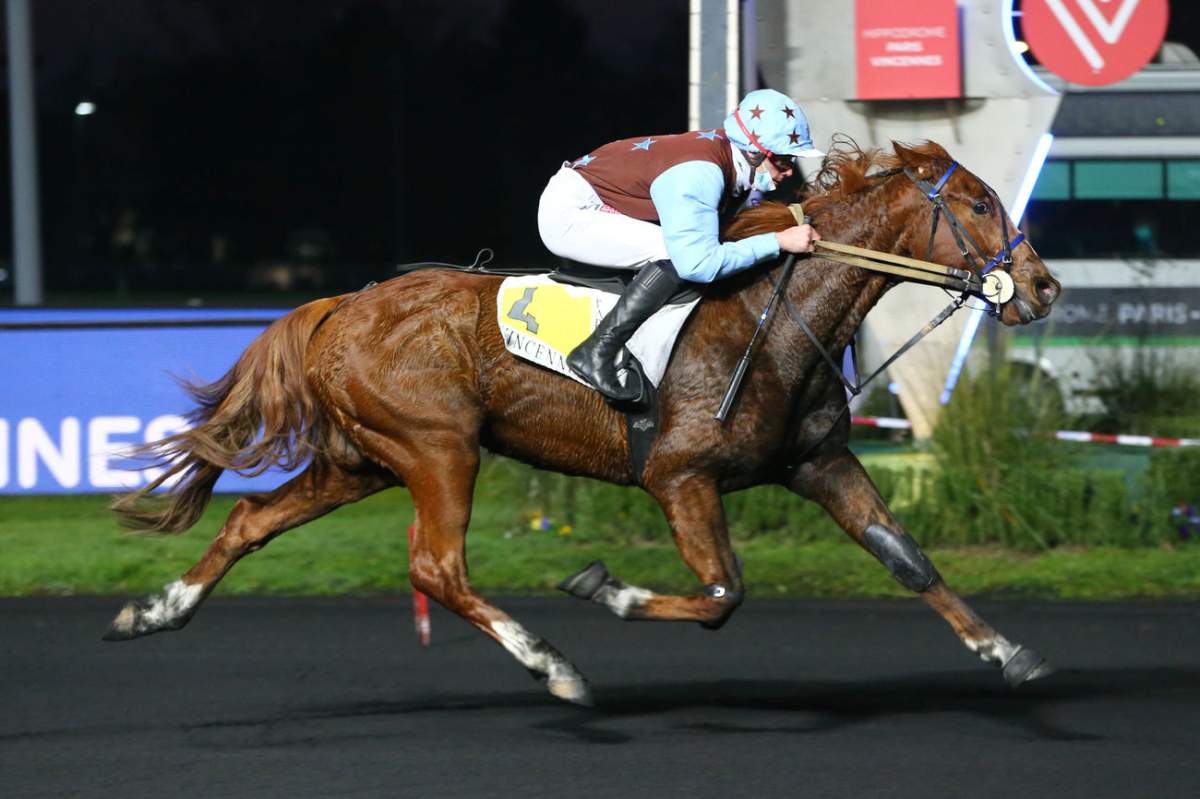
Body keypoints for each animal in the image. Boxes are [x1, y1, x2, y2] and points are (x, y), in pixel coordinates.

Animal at [104, 140, 1061, 706]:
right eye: (979, 203)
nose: (1044, 286)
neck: (772, 313)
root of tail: (342, 304)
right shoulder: (680, 476)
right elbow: (723, 593)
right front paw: (607, 586)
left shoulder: (819, 462)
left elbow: (908, 558)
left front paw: (1008, 650)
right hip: (437, 447)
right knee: (436, 566)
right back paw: (553, 664)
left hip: (363, 458)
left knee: (249, 518)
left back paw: (154, 611)